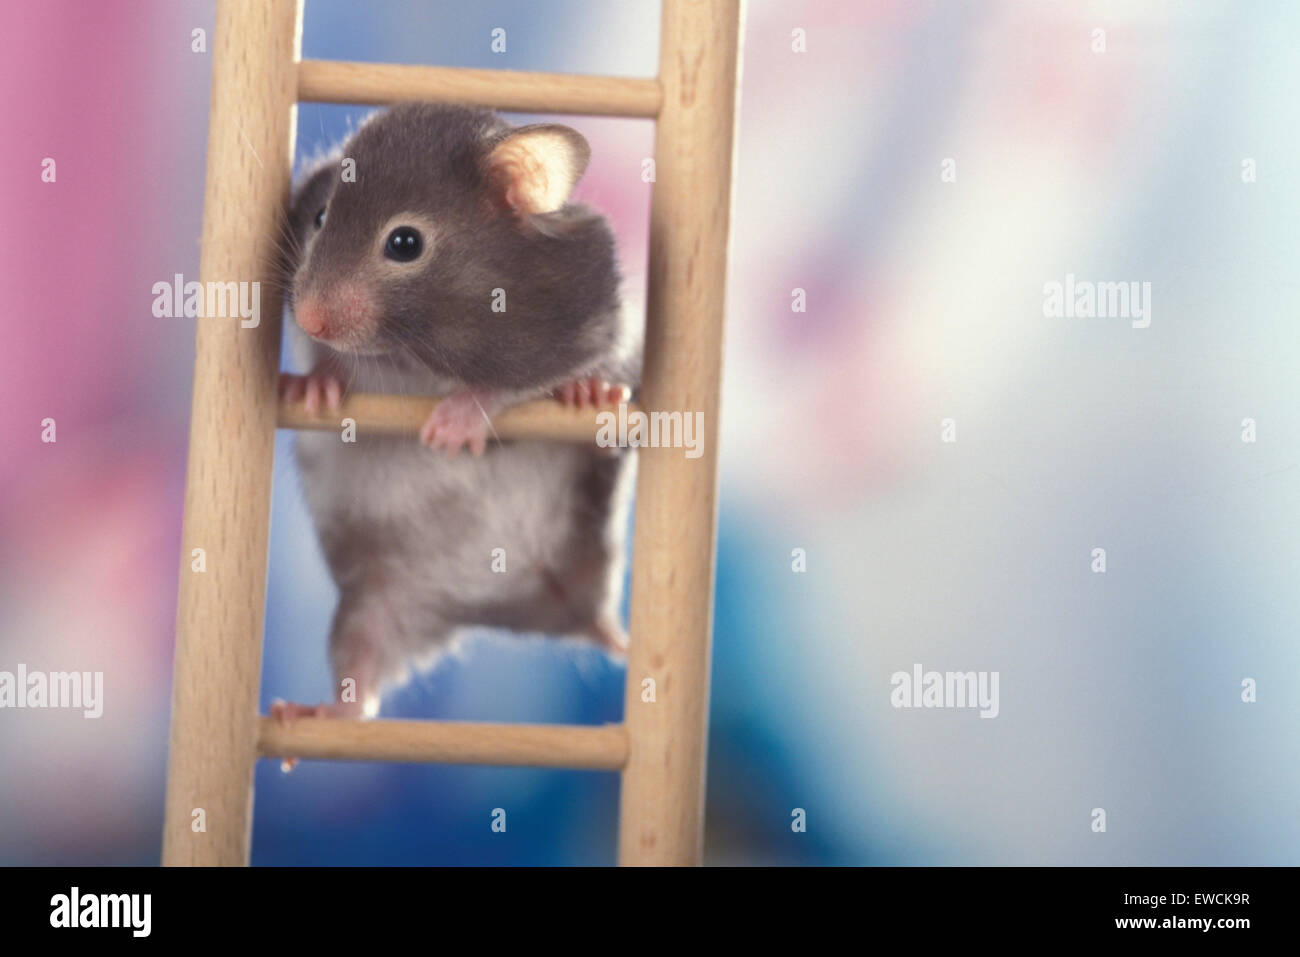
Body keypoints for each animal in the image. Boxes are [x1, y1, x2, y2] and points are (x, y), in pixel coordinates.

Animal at [272, 102, 640, 725]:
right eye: (319, 216)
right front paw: (315, 388)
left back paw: (589, 397)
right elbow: (330, 363)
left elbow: (515, 384)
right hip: (375, 607)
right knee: (360, 684)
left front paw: (450, 429)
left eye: (404, 243)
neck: (416, 349)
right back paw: (310, 713)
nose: (311, 316)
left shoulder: (593, 310)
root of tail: (547, 609)